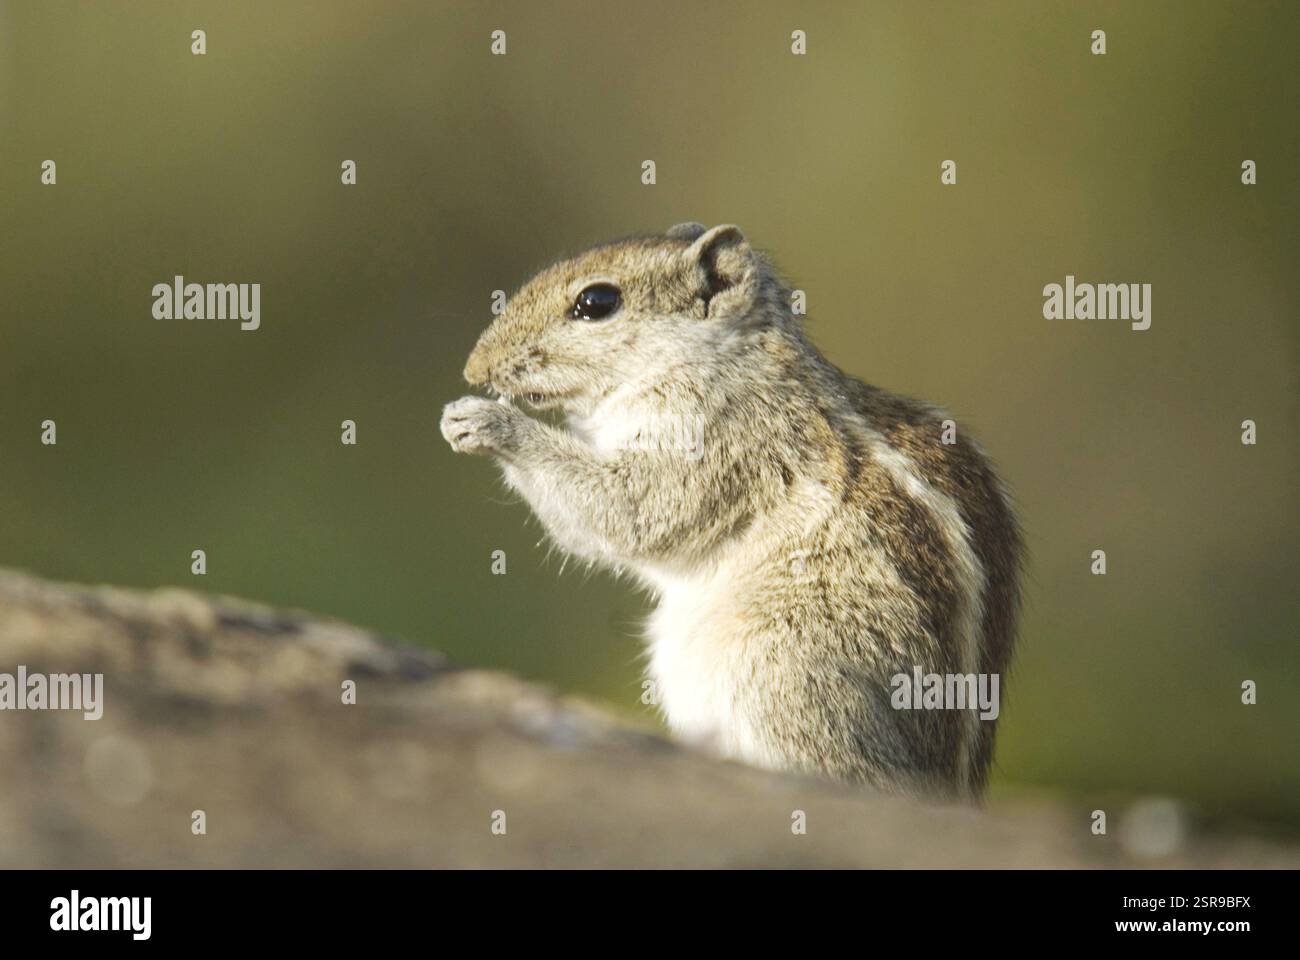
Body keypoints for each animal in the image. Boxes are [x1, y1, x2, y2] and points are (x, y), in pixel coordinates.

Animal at [441, 222, 1022, 799]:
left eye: (596, 302)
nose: (474, 366)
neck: (723, 358)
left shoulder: (712, 438)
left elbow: (630, 511)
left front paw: (489, 422)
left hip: (778, 668)